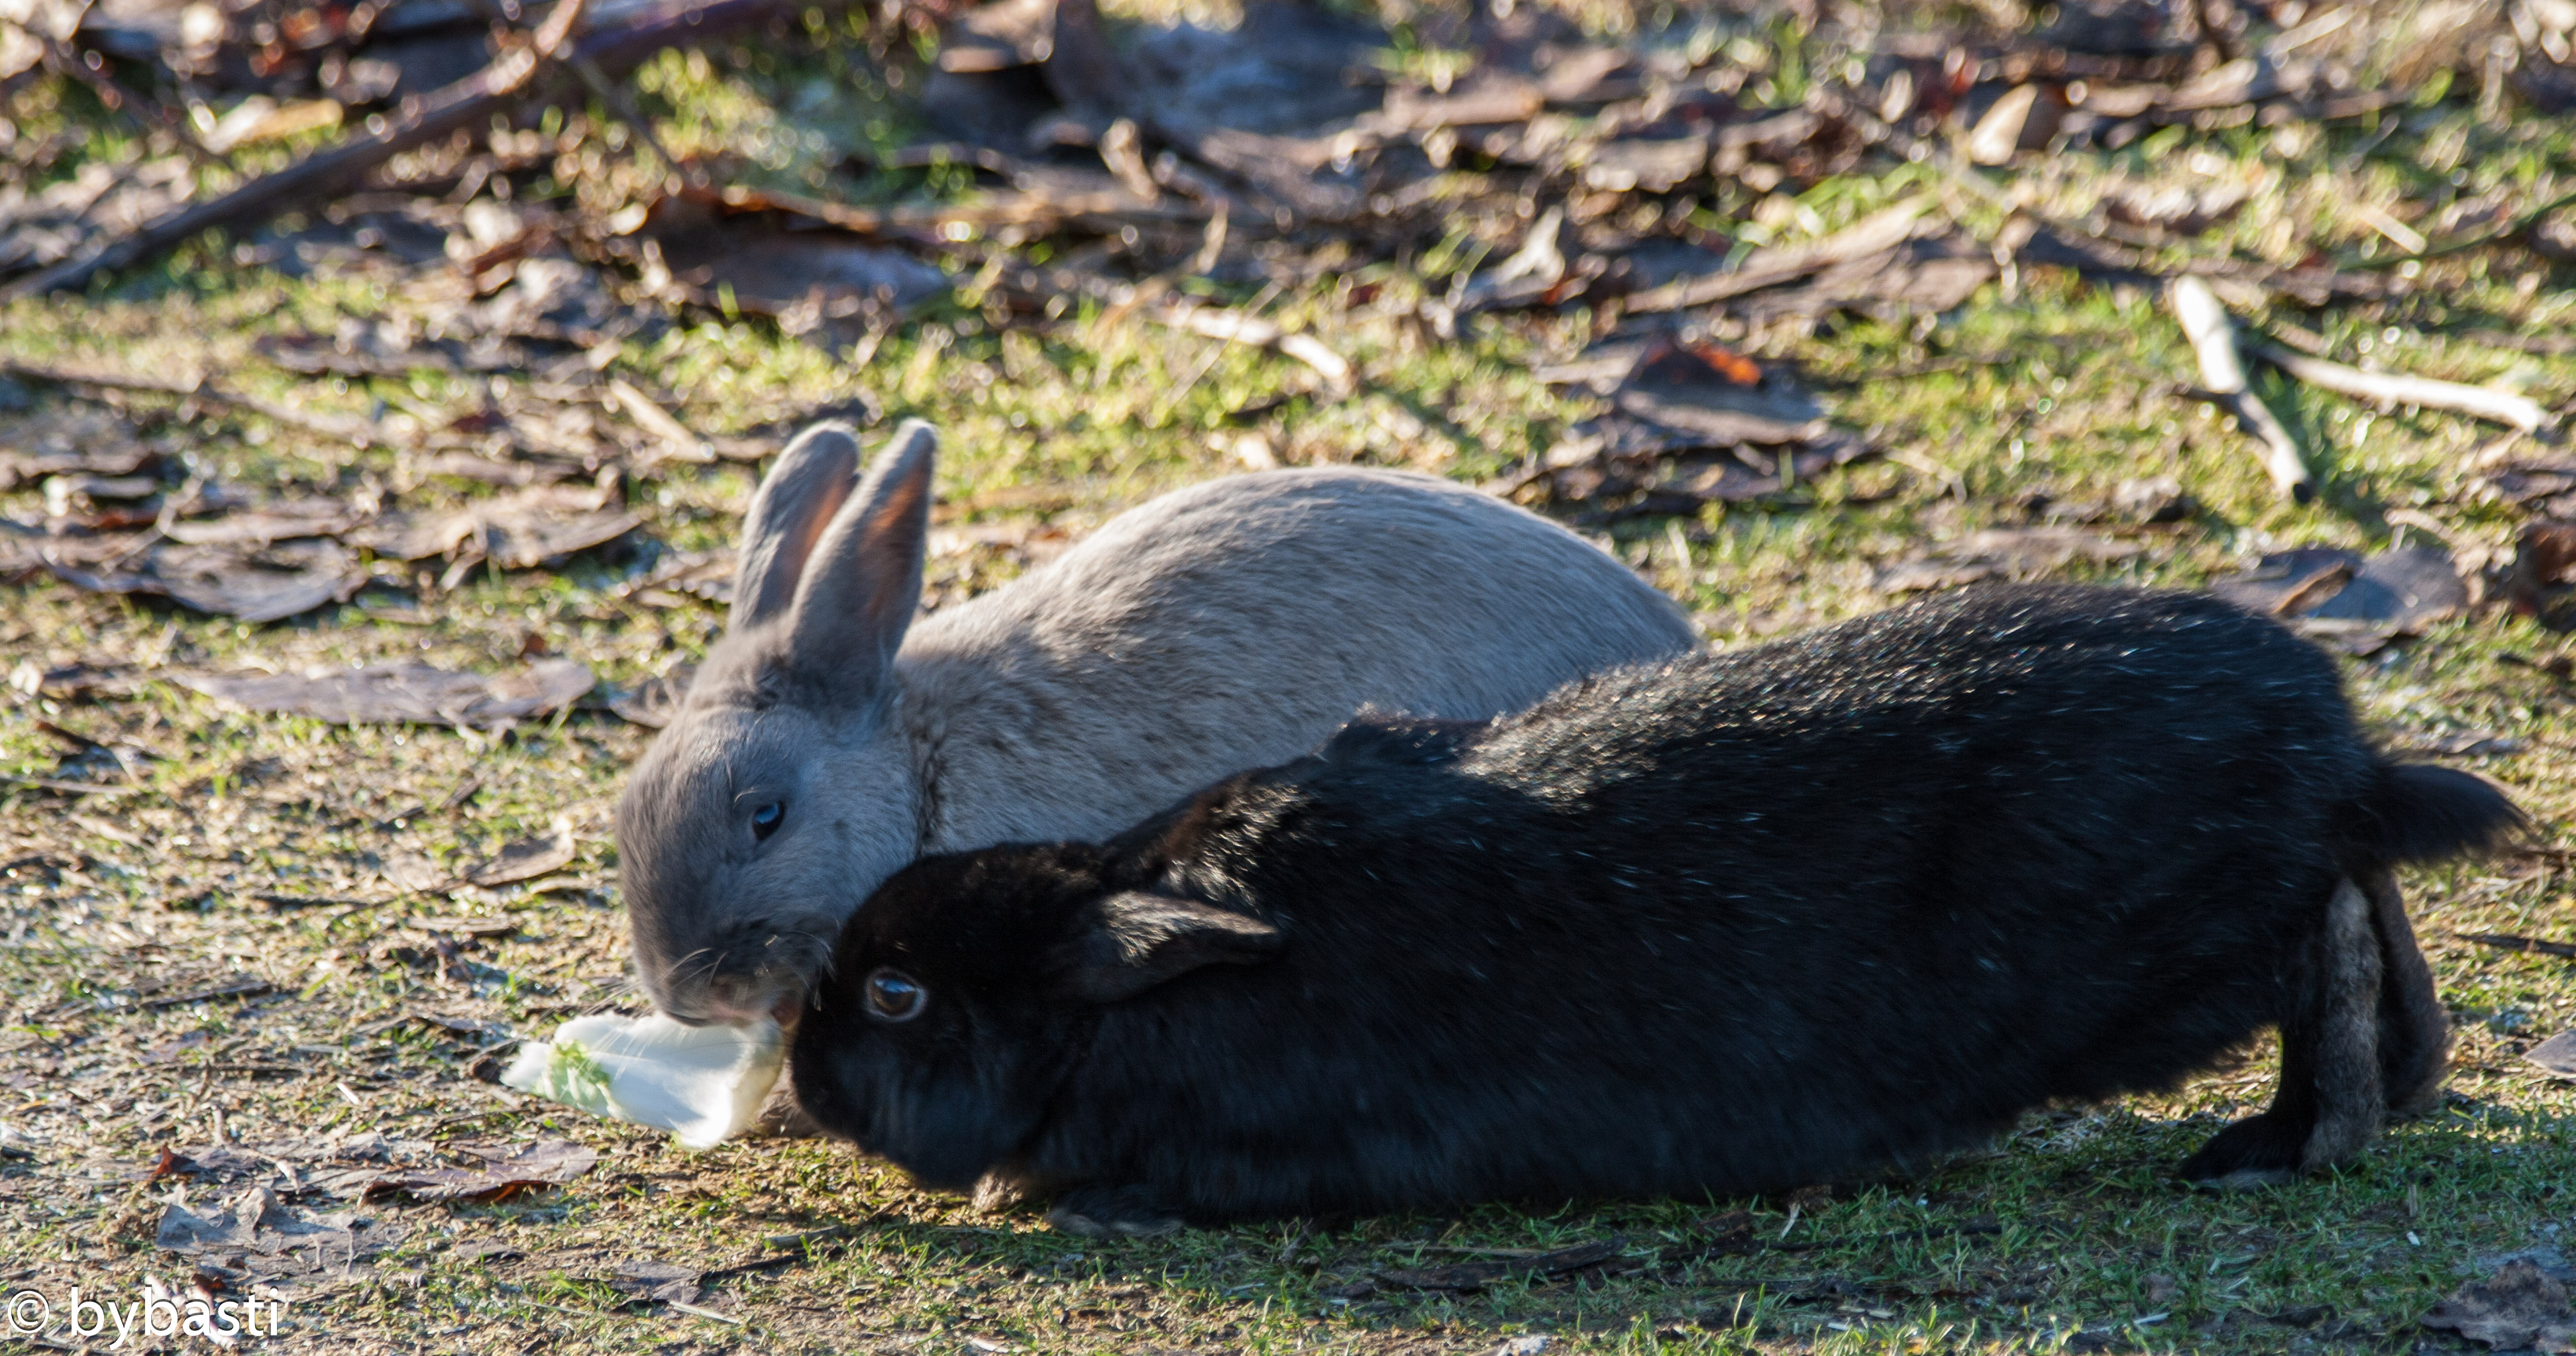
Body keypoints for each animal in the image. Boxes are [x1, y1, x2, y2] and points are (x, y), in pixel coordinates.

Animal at [787, 583, 2520, 1233]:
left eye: (896, 995)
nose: (800, 1073)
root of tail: (2329, 739)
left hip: (2183, 939)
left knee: (2327, 916)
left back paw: (2296, 1138)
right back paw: (2398, 1081)